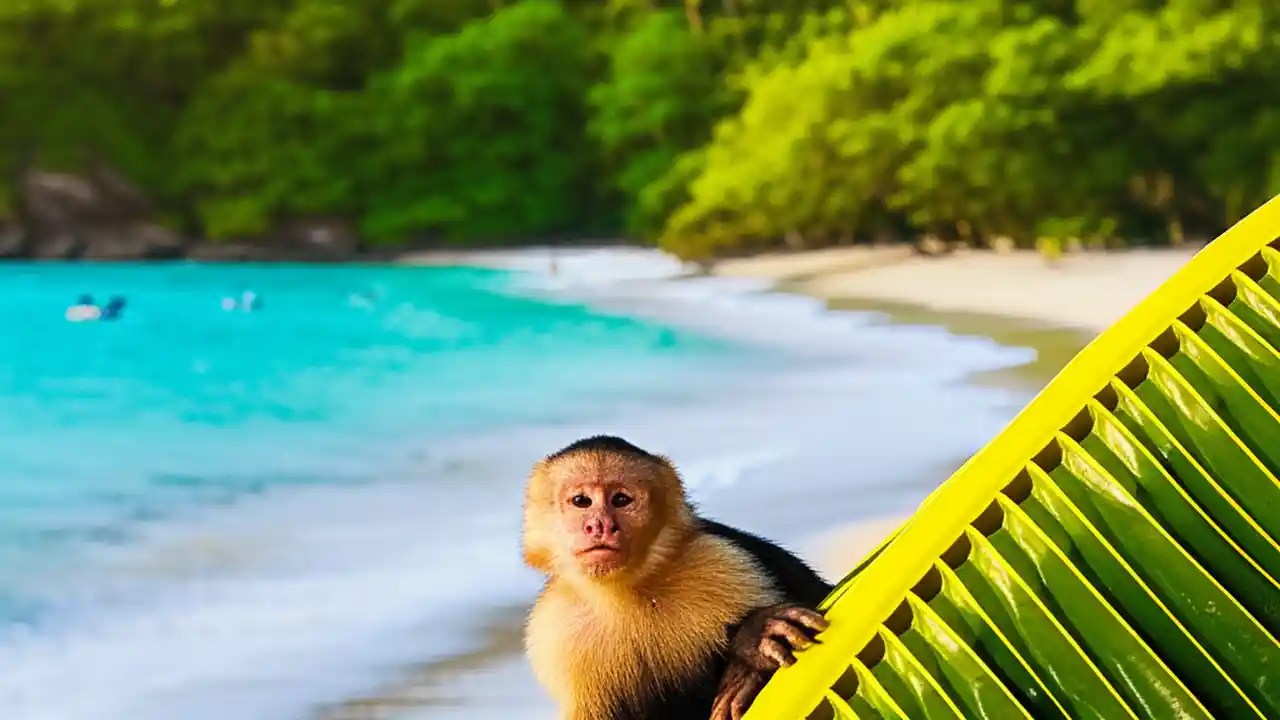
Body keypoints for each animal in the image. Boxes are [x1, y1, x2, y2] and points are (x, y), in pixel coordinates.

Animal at [521, 435, 834, 720]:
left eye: (620, 500)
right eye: (581, 501)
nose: (599, 525)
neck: (624, 589)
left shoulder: (720, 560)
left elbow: (817, 596)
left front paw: (752, 646)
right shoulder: (554, 627)